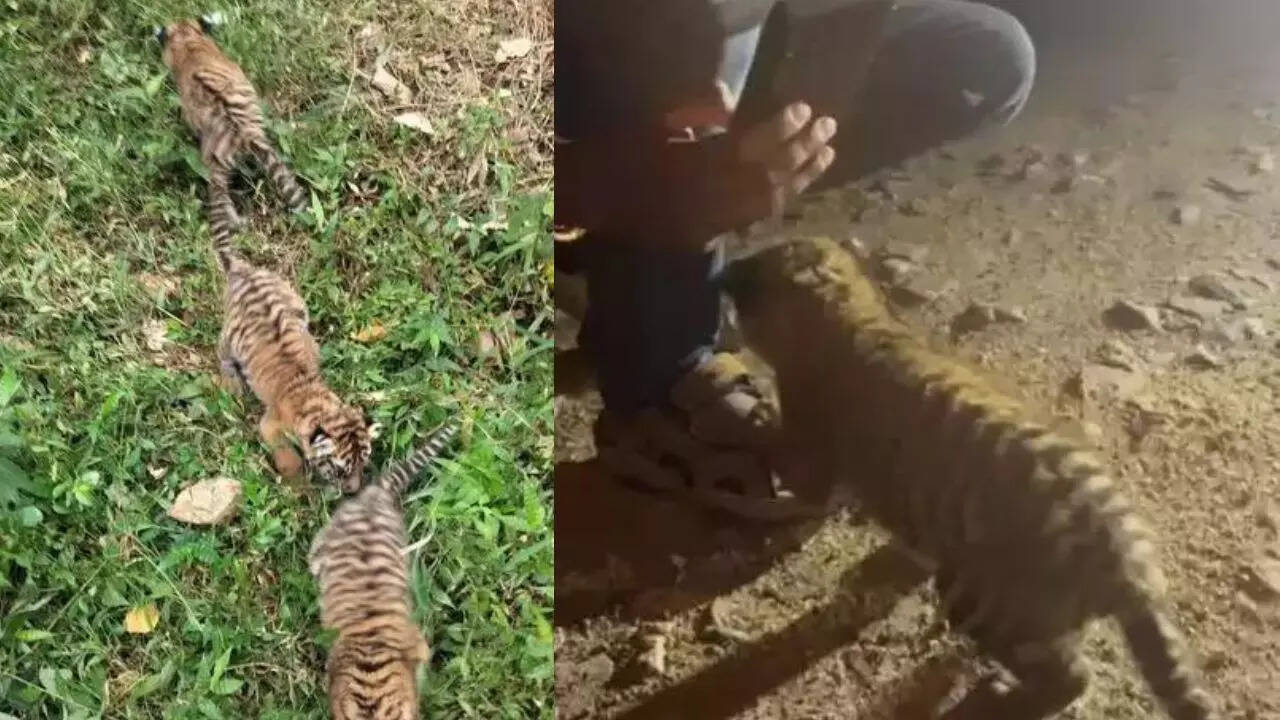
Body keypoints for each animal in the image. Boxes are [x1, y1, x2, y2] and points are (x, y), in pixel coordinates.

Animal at [155, 15, 308, 252]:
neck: (189, 43)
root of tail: (242, 133)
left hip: (214, 171)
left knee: (222, 201)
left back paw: (237, 222)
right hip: (266, 150)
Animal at [721, 236, 1214, 720]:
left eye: (749, 279)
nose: (725, 271)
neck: (852, 313)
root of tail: (1123, 552)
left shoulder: (812, 454)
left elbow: (781, 456)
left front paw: (748, 429)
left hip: (988, 606)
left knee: (1072, 678)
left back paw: (1008, 697)